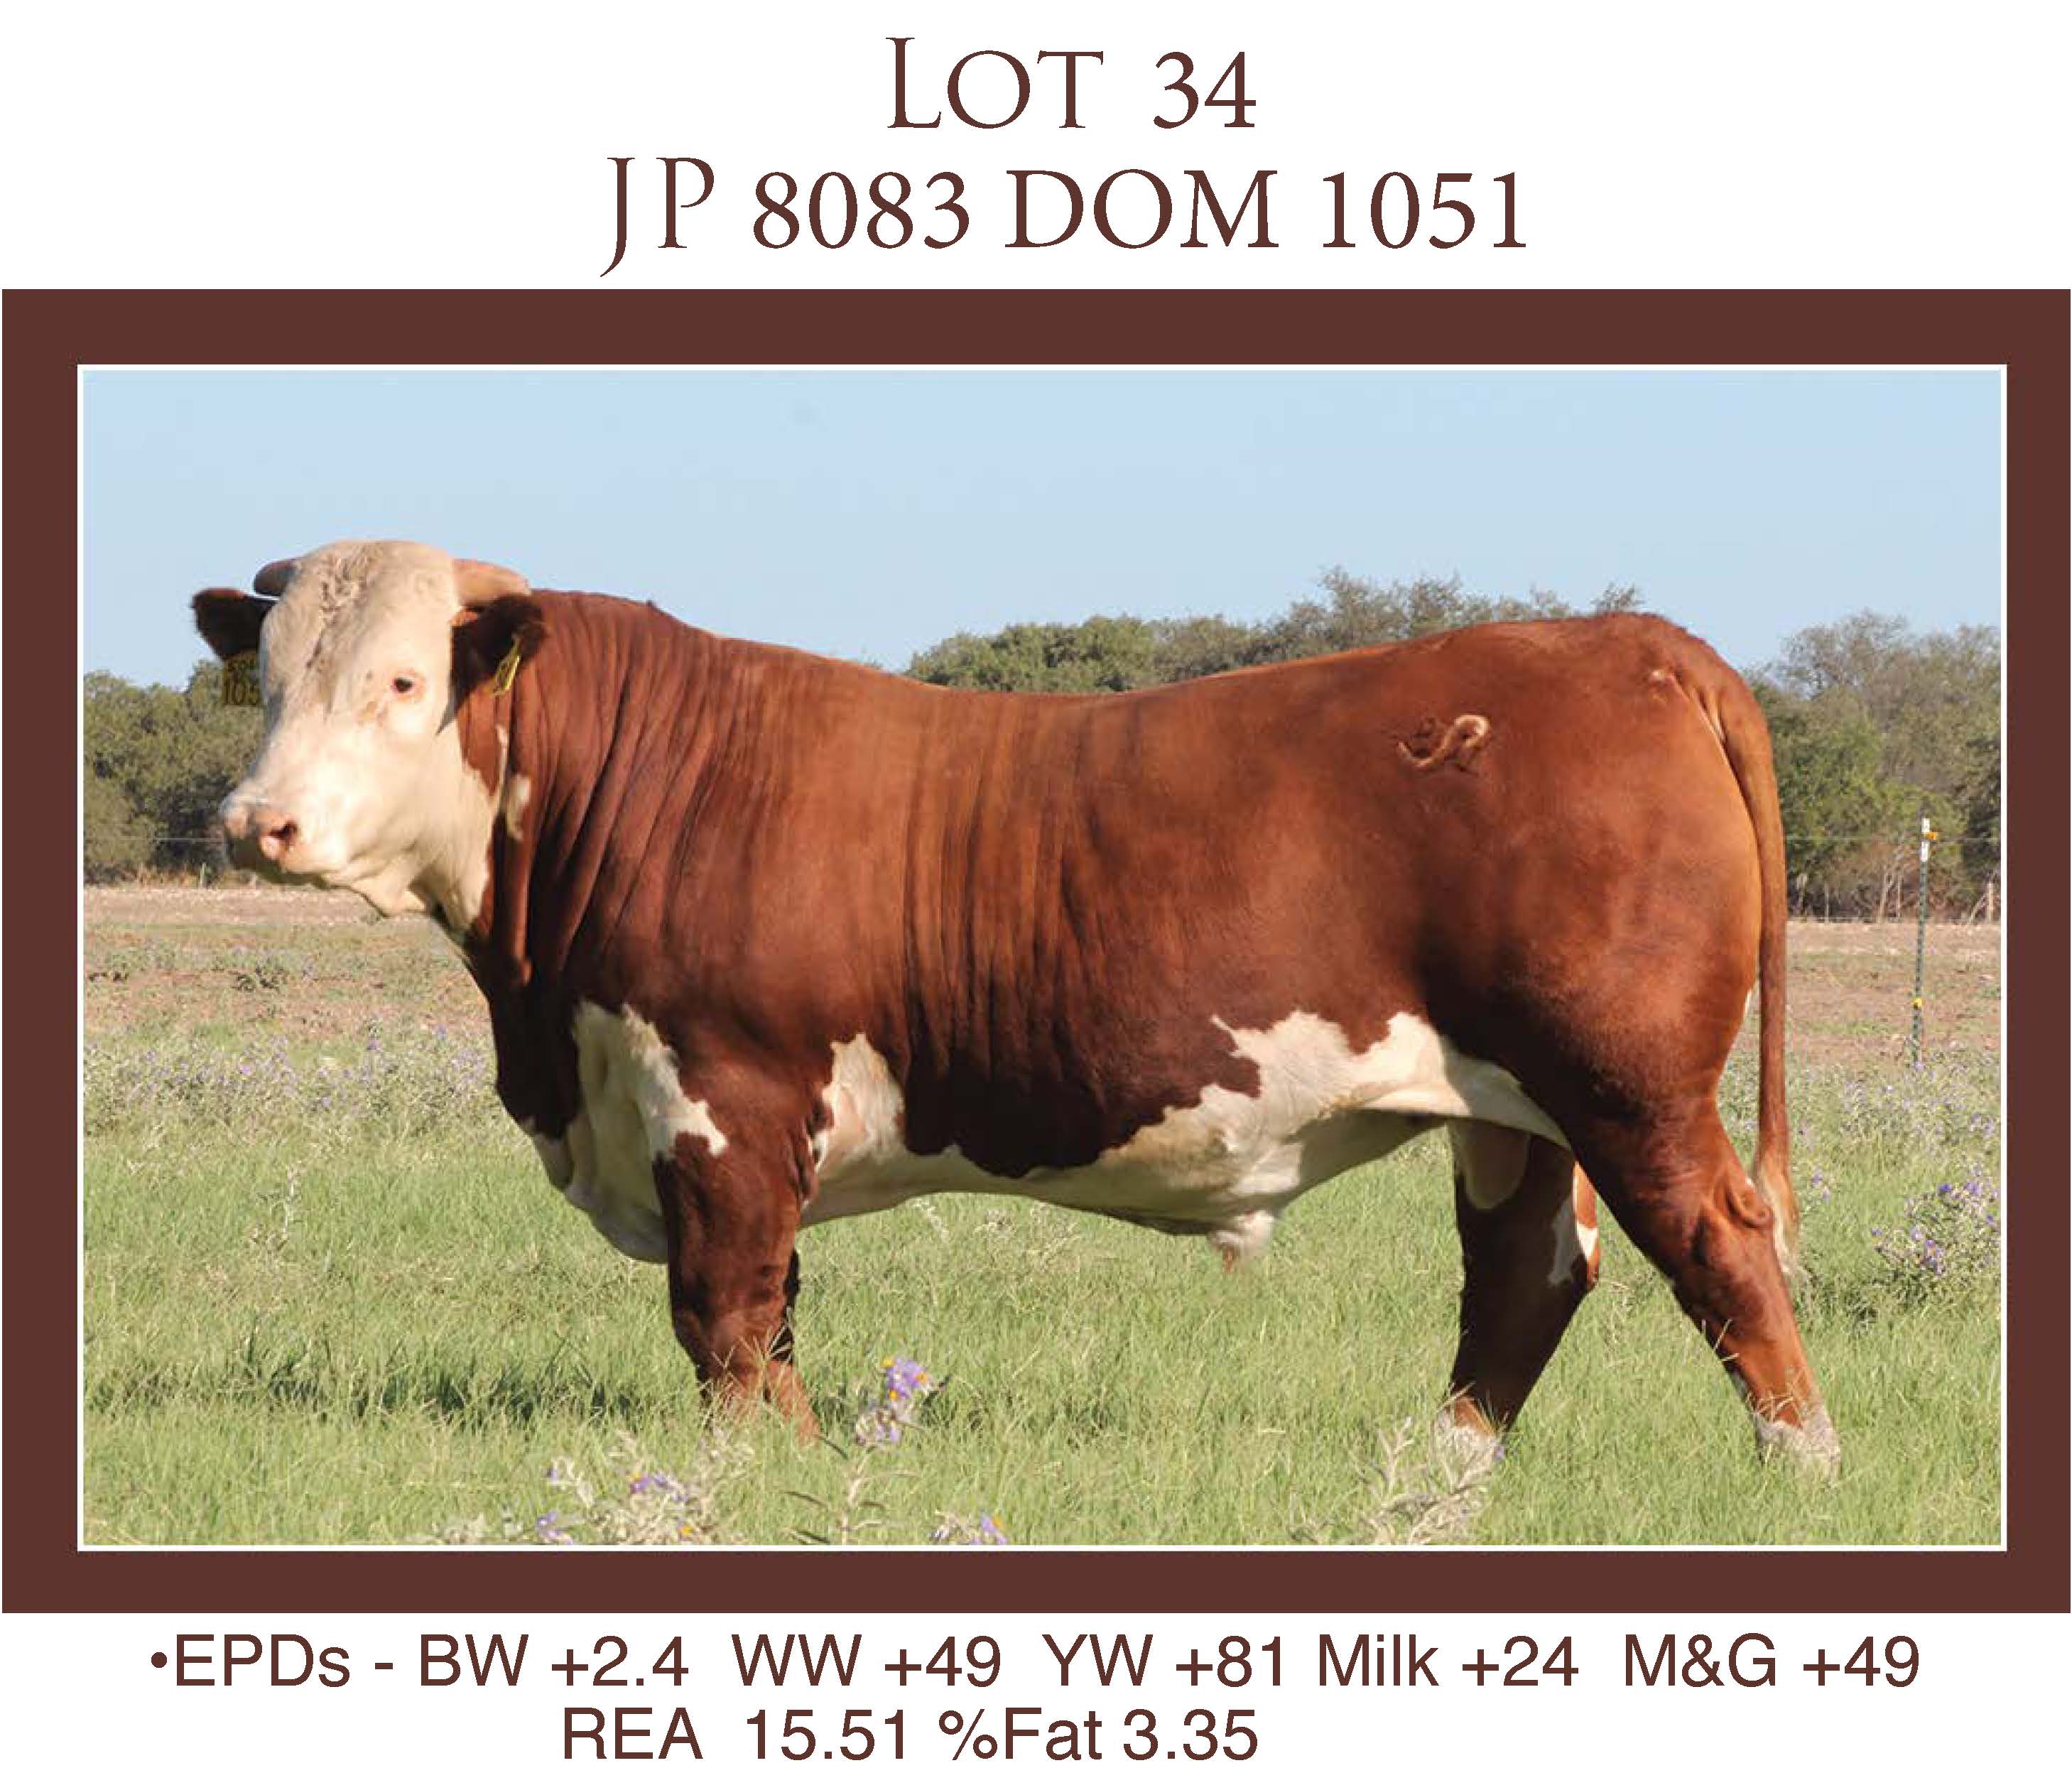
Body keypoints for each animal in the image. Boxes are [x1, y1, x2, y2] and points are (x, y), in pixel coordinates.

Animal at [191, 539, 1836, 1472]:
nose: (256, 823)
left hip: (1624, 1081)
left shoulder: (723, 1097)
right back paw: (1430, 1484)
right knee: (1525, 1276)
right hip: (1513, 1106)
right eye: (266, 681)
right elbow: (767, 1322)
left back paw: (1798, 1472)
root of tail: (1621, 642)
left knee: (1718, 1251)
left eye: (404, 683)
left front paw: (760, 1488)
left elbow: (726, 1318)